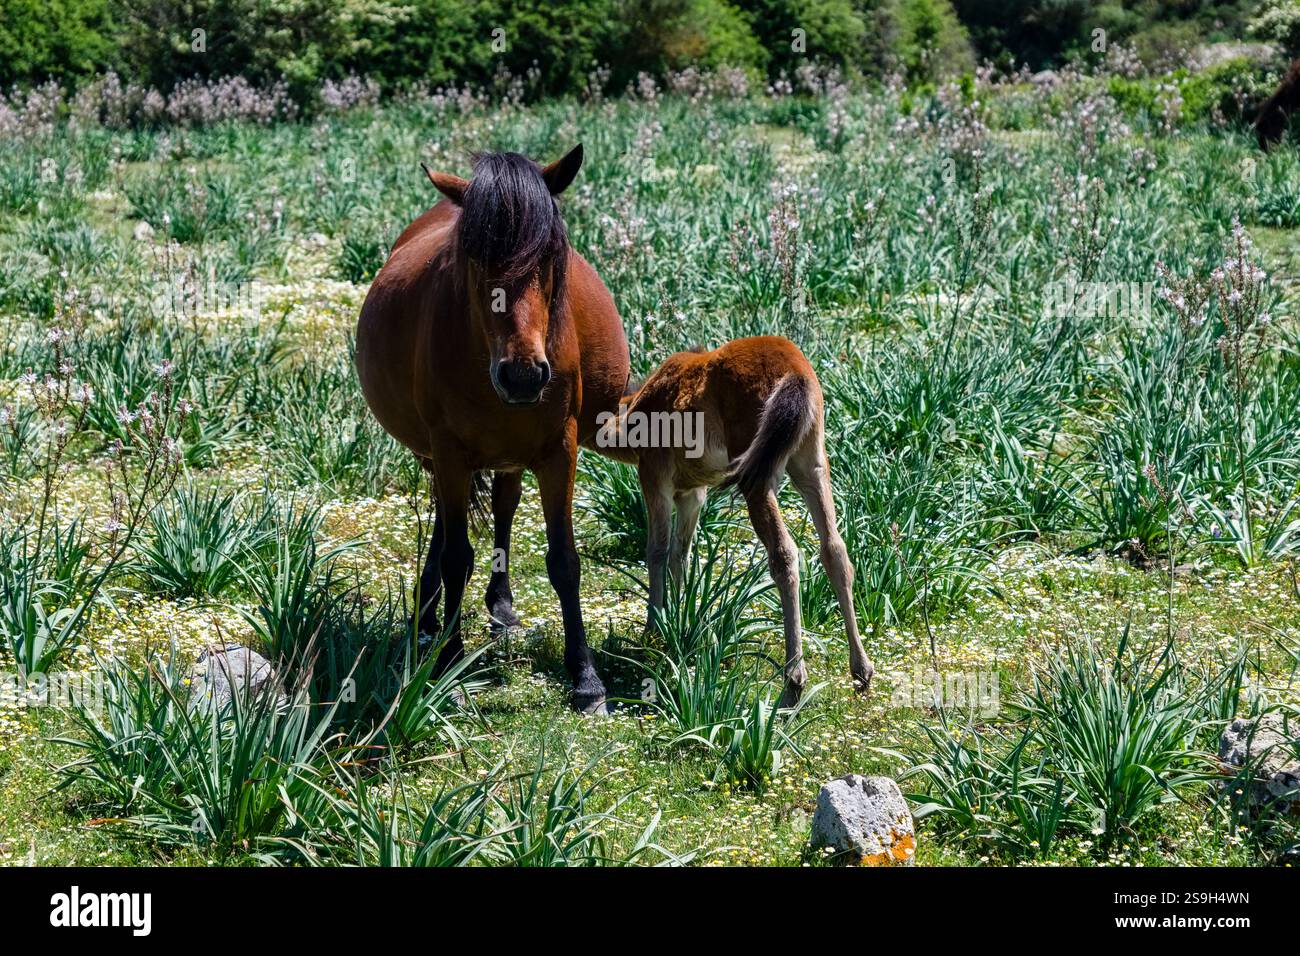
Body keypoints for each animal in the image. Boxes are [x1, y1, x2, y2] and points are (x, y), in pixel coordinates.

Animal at [355, 145, 630, 714]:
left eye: (550, 257)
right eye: (476, 261)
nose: (522, 376)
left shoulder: (558, 451)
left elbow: (564, 561)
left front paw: (586, 678)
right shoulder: (449, 449)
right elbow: (457, 554)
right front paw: (447, 662)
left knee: (503, 505)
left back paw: (499, 605)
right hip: (438, 456)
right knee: (446, 522)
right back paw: (428, 616)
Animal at [595, 335, 874, 706]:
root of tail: (797, 374)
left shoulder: (655, 476)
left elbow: (656, 550)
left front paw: (653, 630)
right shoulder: (692, 493)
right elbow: (680, 555)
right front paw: (678, 622)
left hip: (757, 477)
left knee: (785, 554)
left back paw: (793, 681)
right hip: (811, 463)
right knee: (835, 548)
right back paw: (861, 669)